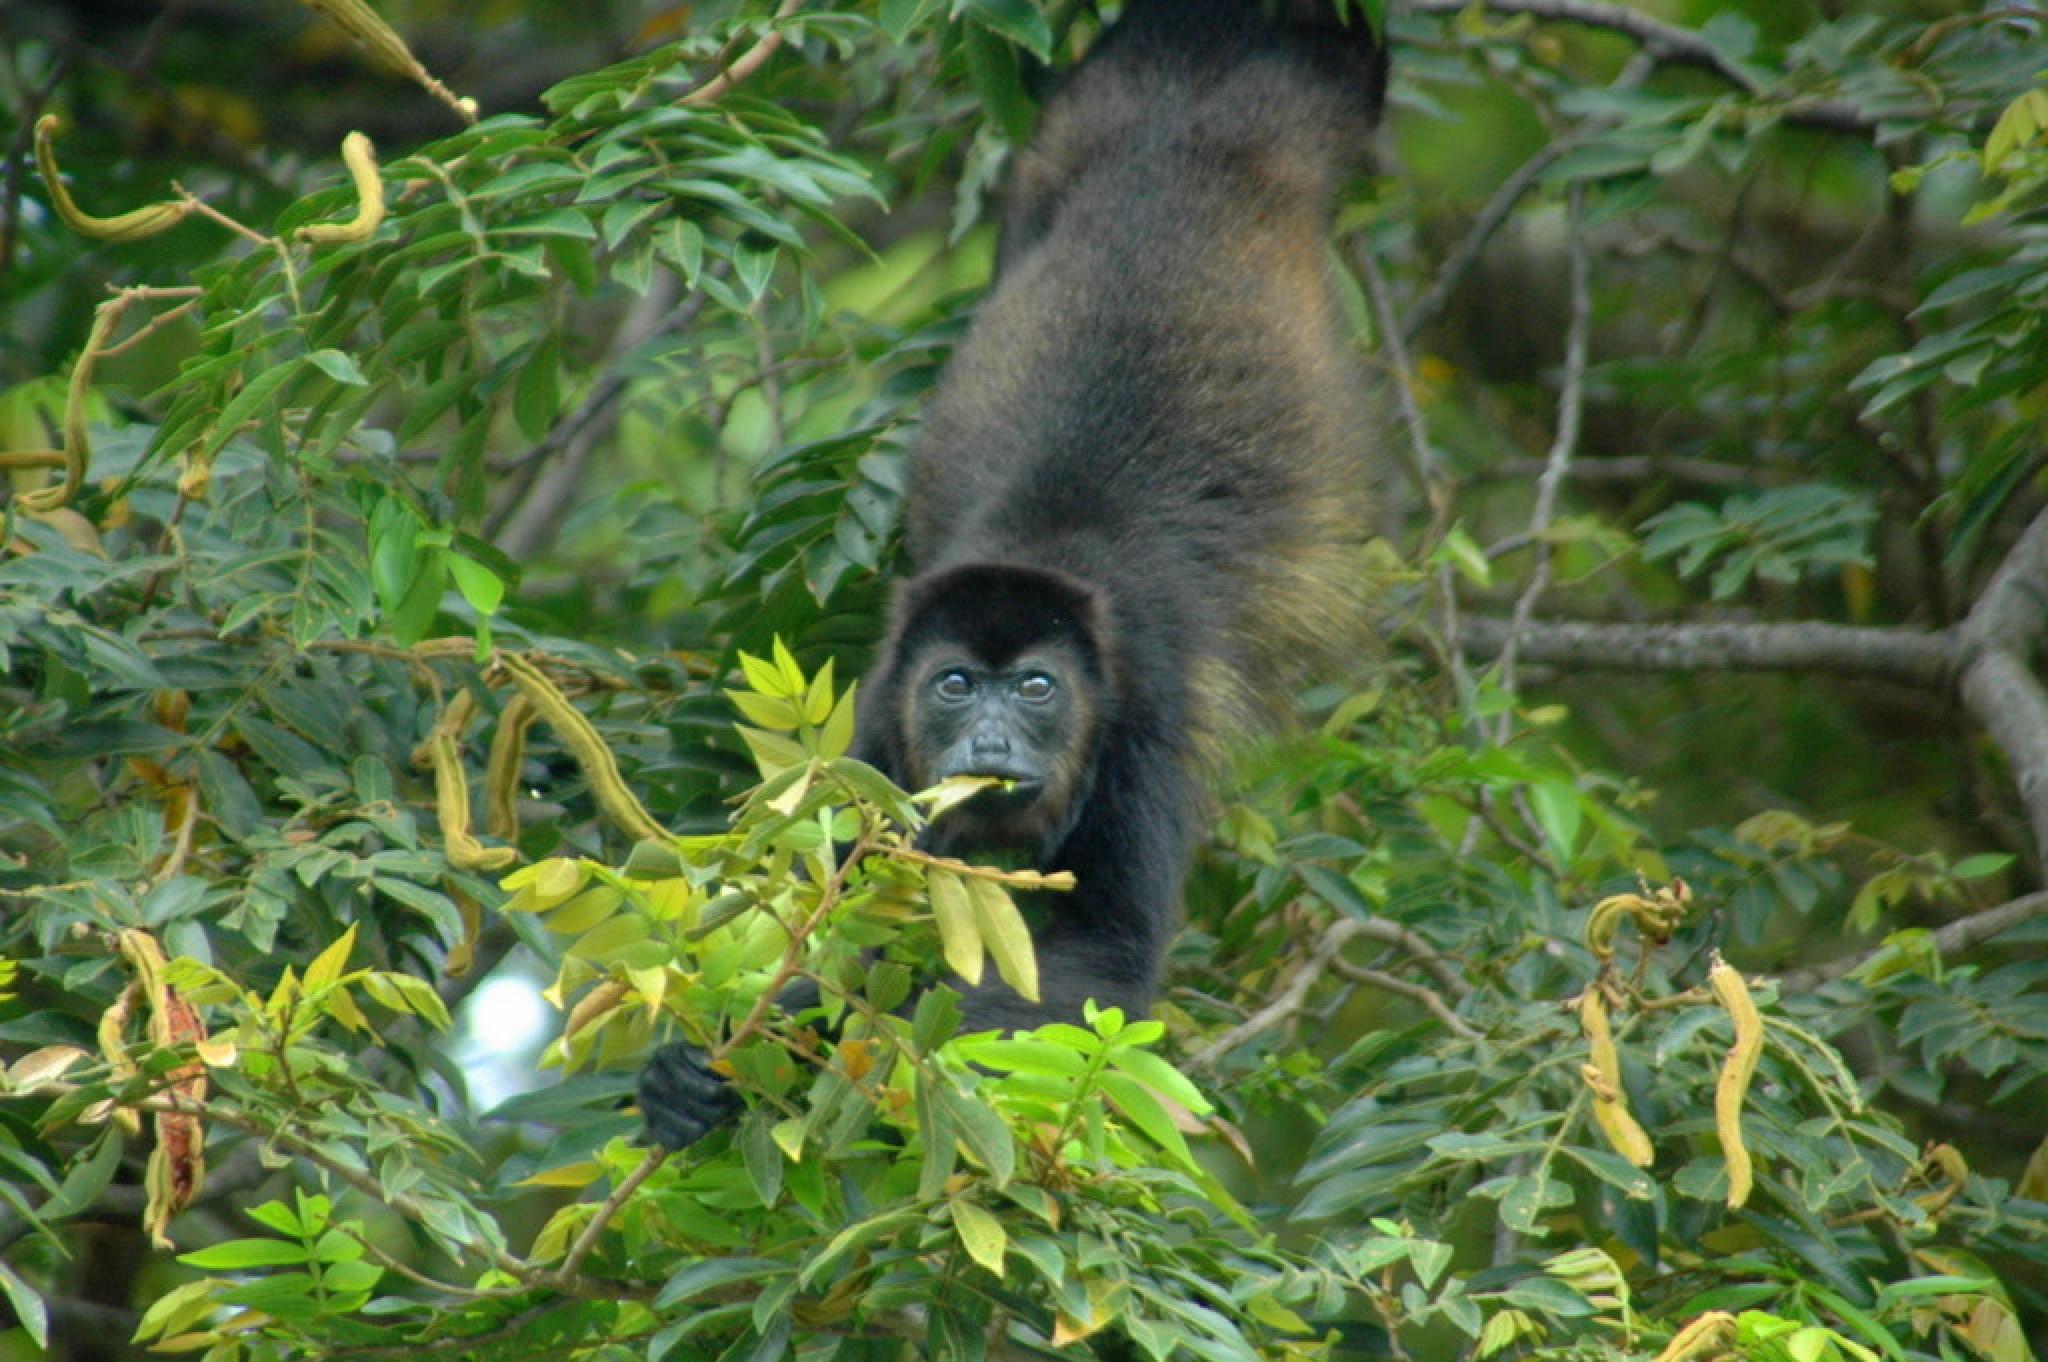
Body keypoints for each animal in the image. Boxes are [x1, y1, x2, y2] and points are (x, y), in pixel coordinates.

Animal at [640, 0, 1386, 1151]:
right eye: (956, 685)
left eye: (1035, 687)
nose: (987, 744)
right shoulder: (879, 729)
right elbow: (850, 926)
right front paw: (694, 1074)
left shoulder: (1144, 712)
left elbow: (1093, 948)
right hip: (1075, 125)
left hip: (1312, 91)